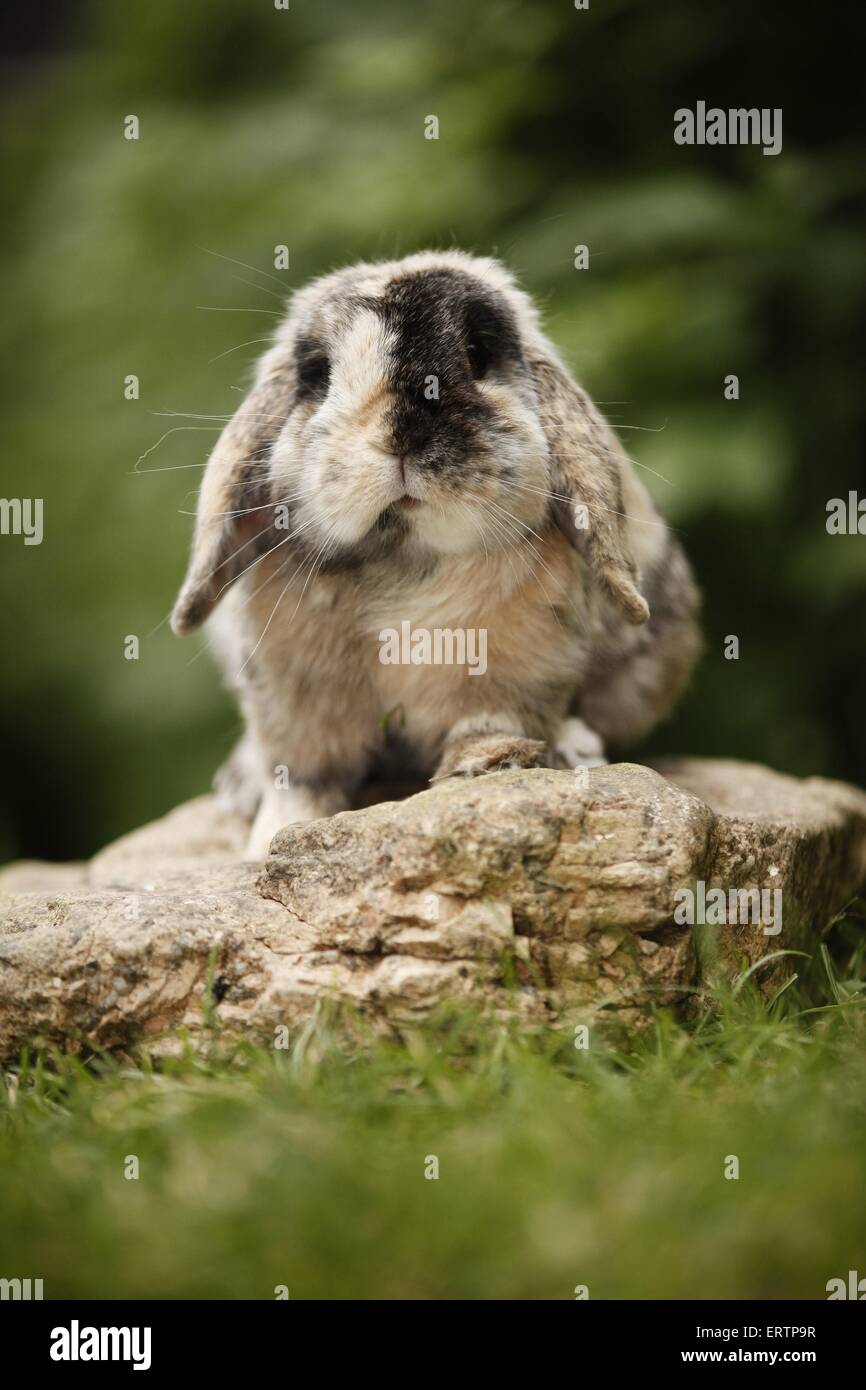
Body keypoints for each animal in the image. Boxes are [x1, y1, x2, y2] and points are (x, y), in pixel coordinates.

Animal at [171, 251, 700, 858]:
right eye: (319, 374)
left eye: (477, 354)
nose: (402, 435)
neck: (405, 557)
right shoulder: (295, 704)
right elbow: (301, 780)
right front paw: (267, 843)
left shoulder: (514, 677)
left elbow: (488, 726)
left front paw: (487, 769)